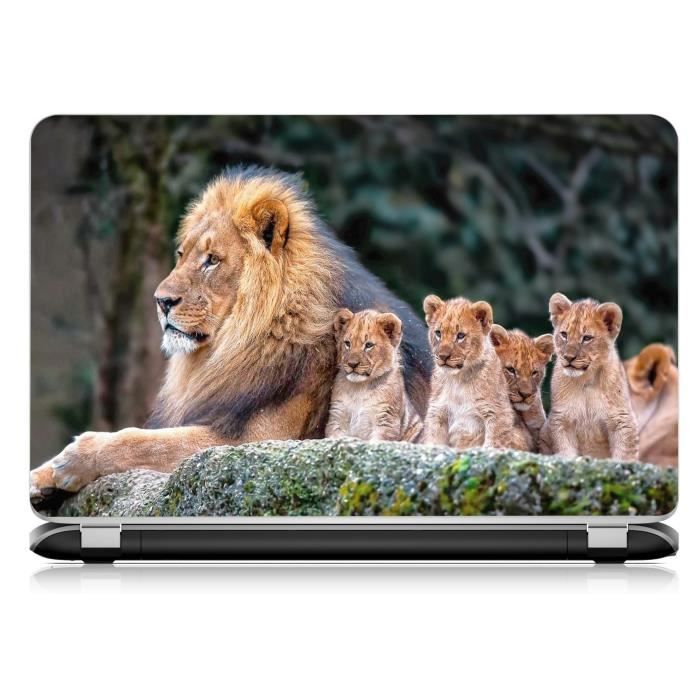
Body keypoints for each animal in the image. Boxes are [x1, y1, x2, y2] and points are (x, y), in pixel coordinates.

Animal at [325, 308, 422, 442]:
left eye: (368, 345)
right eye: (347, 343)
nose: (352, 364)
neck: (360, 388)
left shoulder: (385, 421)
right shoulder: (337, 417)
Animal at [421, 295, 531, 451]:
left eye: (460, 335)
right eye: (438, 333)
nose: (443, 356)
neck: (458, 380)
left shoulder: (498, 413)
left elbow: (493, 442)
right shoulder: (437, 412)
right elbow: (433, 440)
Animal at [541, 292, 639, 461]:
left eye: (586, 338)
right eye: (564, 335)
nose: (568, 357)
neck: (585, 380)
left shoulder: (621, 420)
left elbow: (623, 454)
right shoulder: (561, 419)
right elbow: (566, 451)